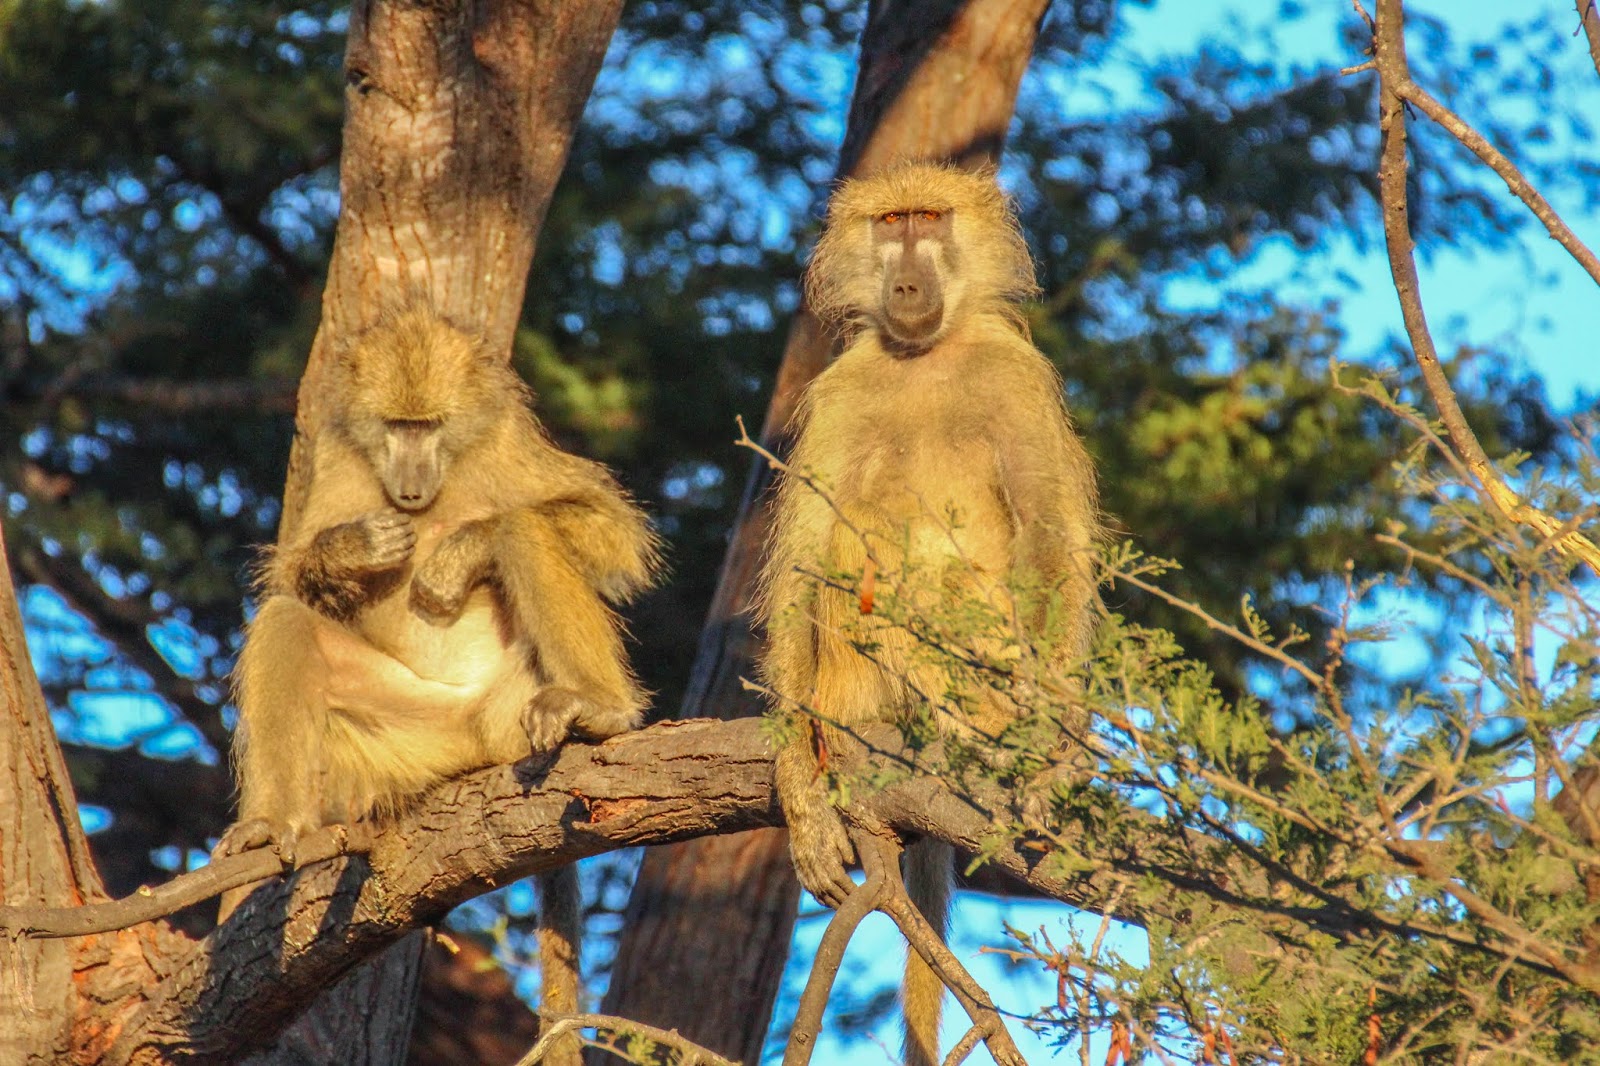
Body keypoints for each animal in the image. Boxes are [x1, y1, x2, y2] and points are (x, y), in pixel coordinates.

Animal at [222, 305, 660, 1065]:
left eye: (430, 426)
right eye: (396, 426)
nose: (410, 487)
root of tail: (473, 734)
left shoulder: (507, 439)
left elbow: (609, 530)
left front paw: (461, 549)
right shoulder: (336, 455)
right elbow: (291, 577)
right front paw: (353, 549)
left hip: (513, 709)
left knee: (525, 526)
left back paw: (599, 707)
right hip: (419, 737)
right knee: (285, 619)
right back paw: (271, 826)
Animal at [756, 161, 1101, 1066]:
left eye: (930, 220)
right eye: (890, 224)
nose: (908, 283)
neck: (924, 357)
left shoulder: (1016, 378)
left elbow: (1050, 541)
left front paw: (1051, 757)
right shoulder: (844, 390)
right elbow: (803, 565)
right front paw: (802, 802)